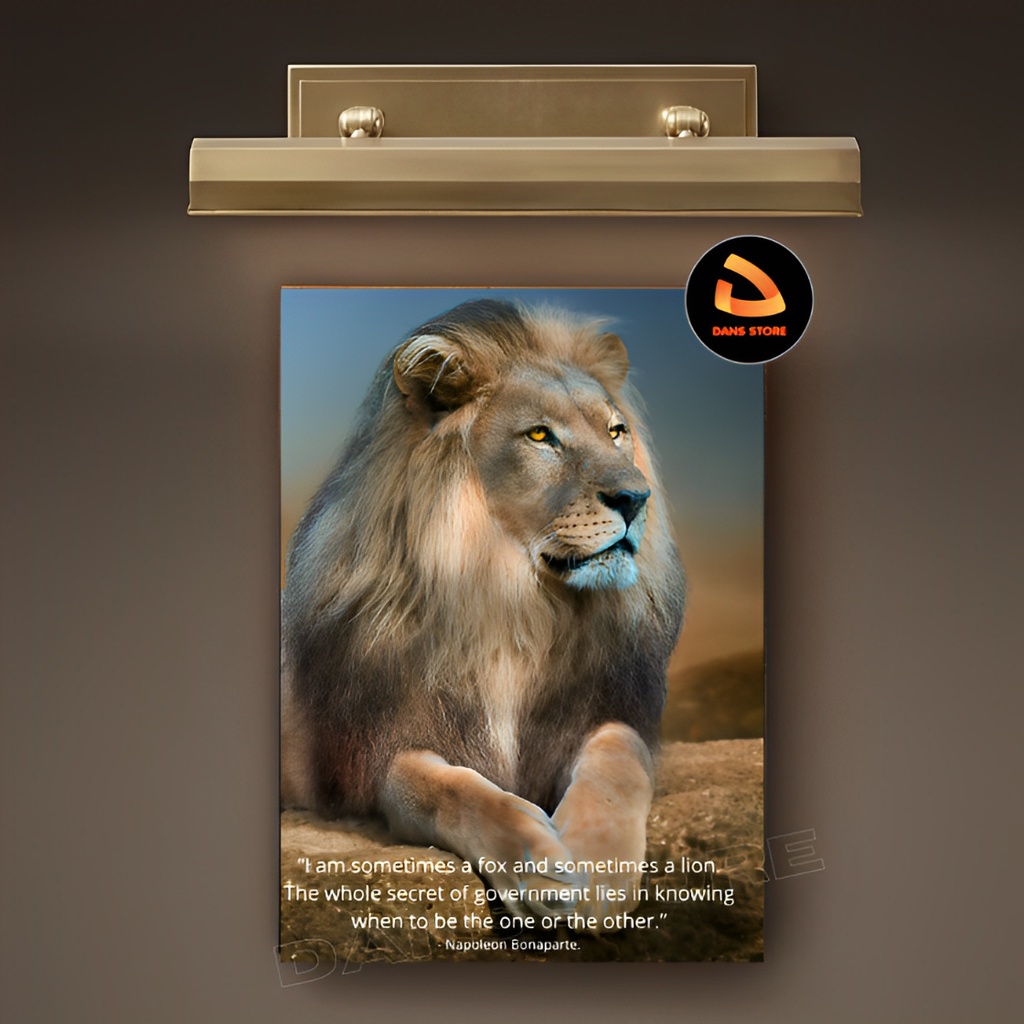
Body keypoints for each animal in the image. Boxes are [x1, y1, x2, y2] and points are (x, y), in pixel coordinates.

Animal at [281, 298, 685, 929]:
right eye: (541, 436)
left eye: (616, 431)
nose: (636, 498)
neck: (511, 600)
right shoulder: (375, 754)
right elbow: (445, 788)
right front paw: (538, 869)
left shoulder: (611, 707)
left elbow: (620, 756)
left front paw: (598, 866)